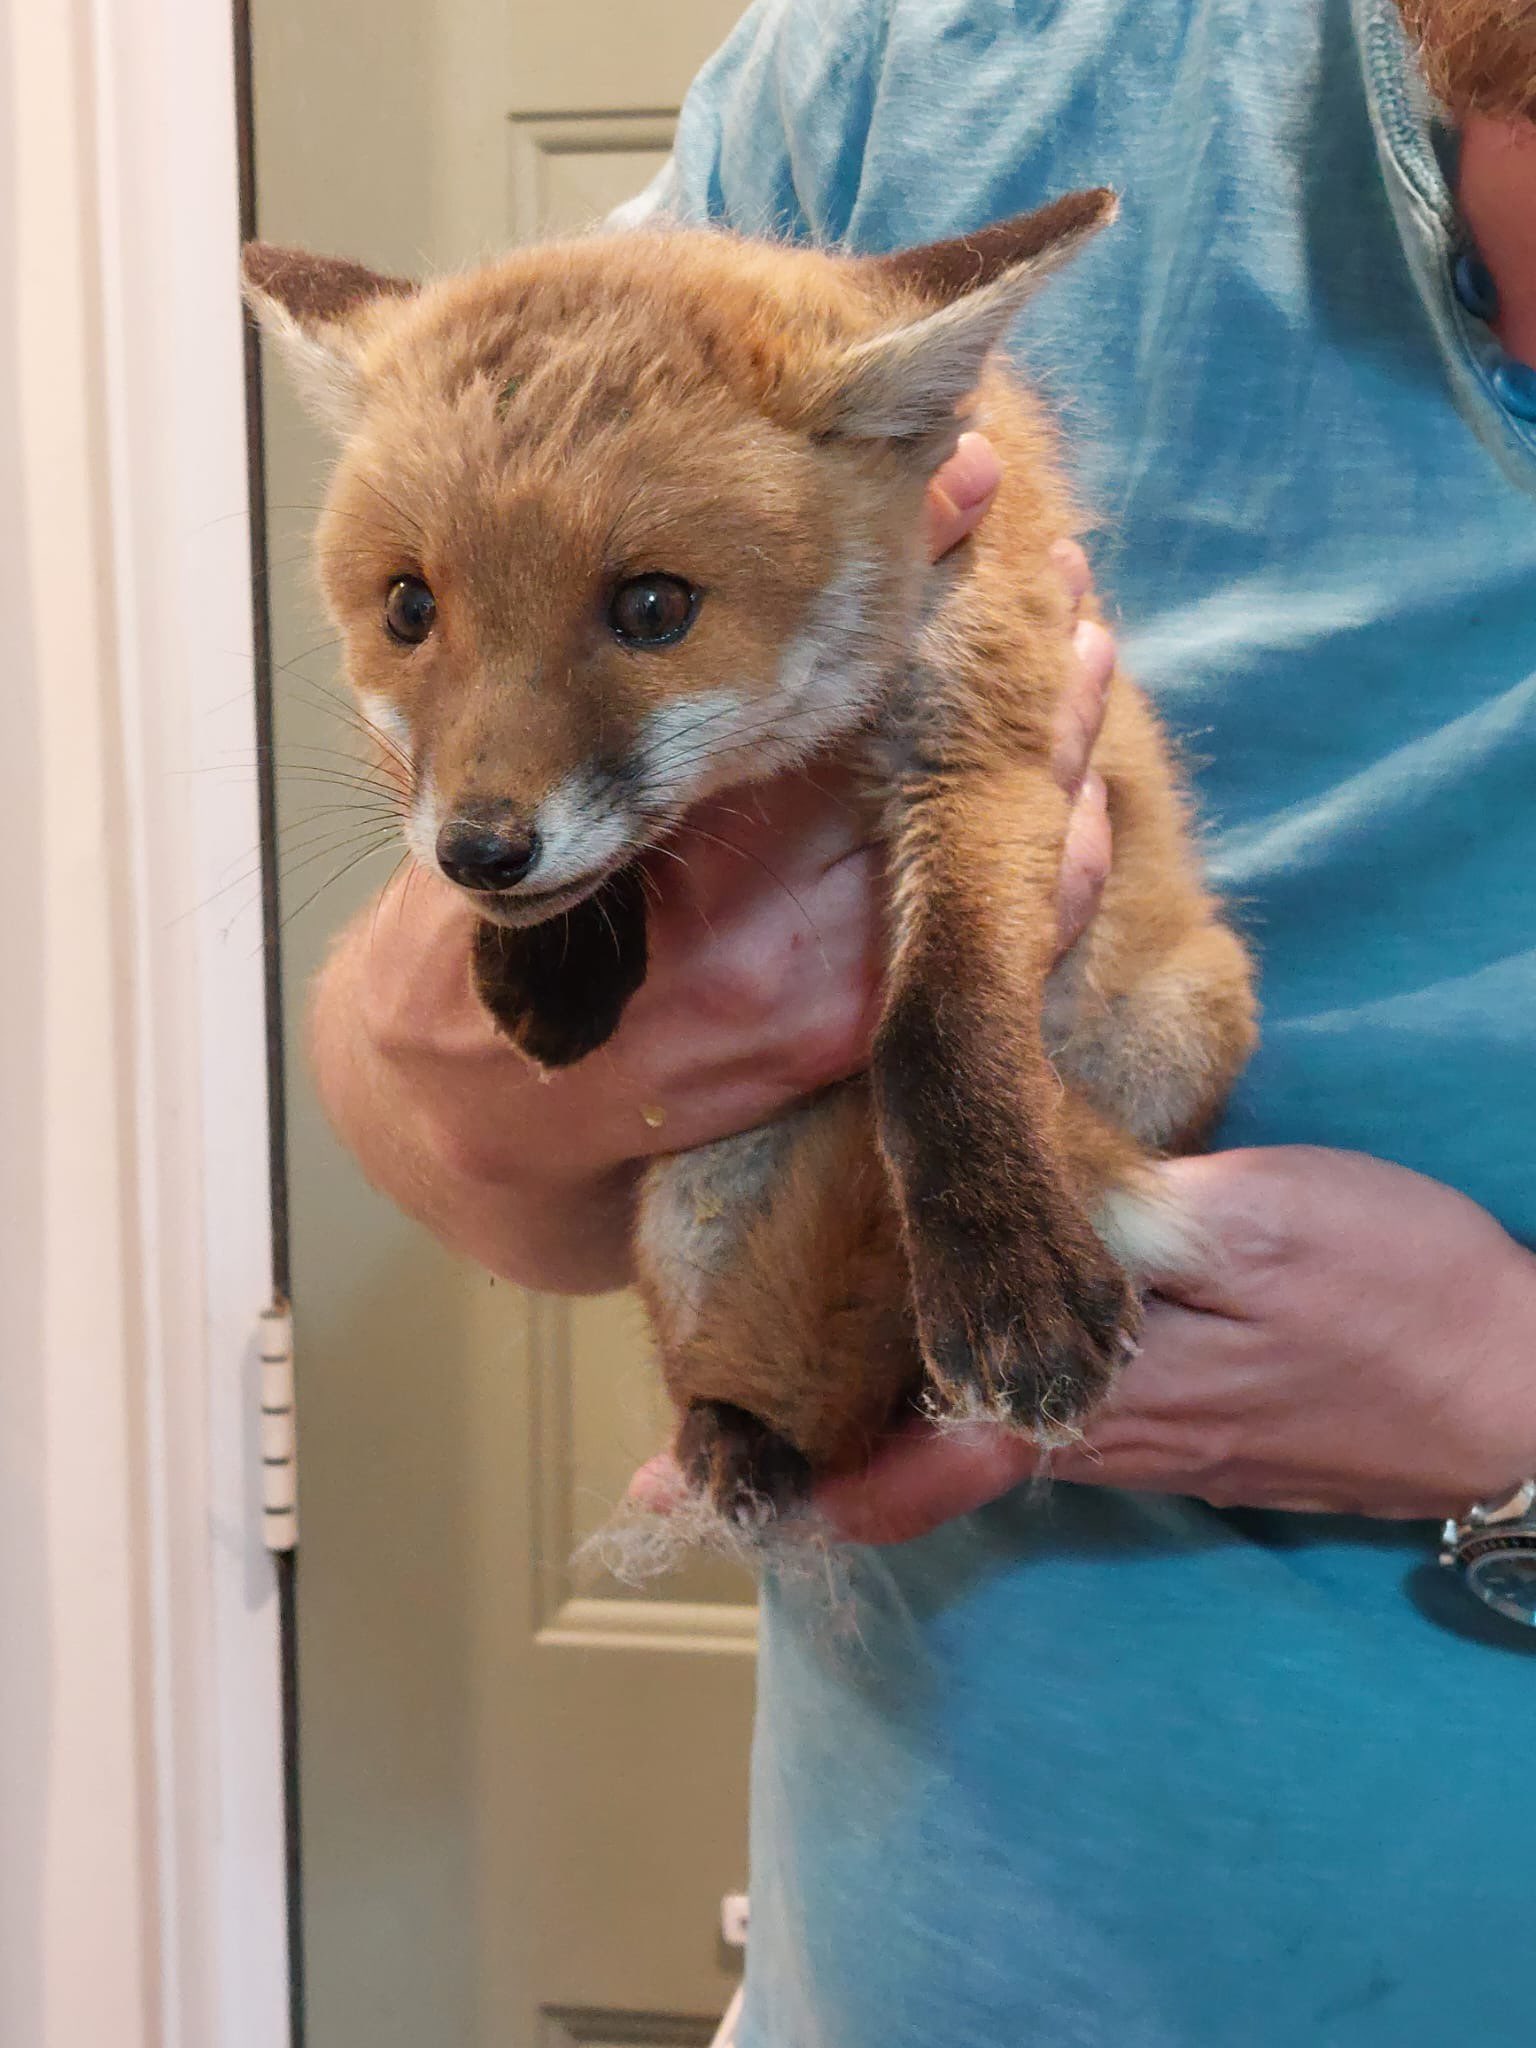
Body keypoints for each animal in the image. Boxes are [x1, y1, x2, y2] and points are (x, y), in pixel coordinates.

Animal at [245, 189, 1257, 1529]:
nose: (481, 853)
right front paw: (552, 960)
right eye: (410, 608)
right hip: (685, 1211)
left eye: (653, 608)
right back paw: (742, 1433)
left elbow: (934, 1031)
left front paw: (1008, 1271)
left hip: (1176, 1026)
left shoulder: (994, 743)